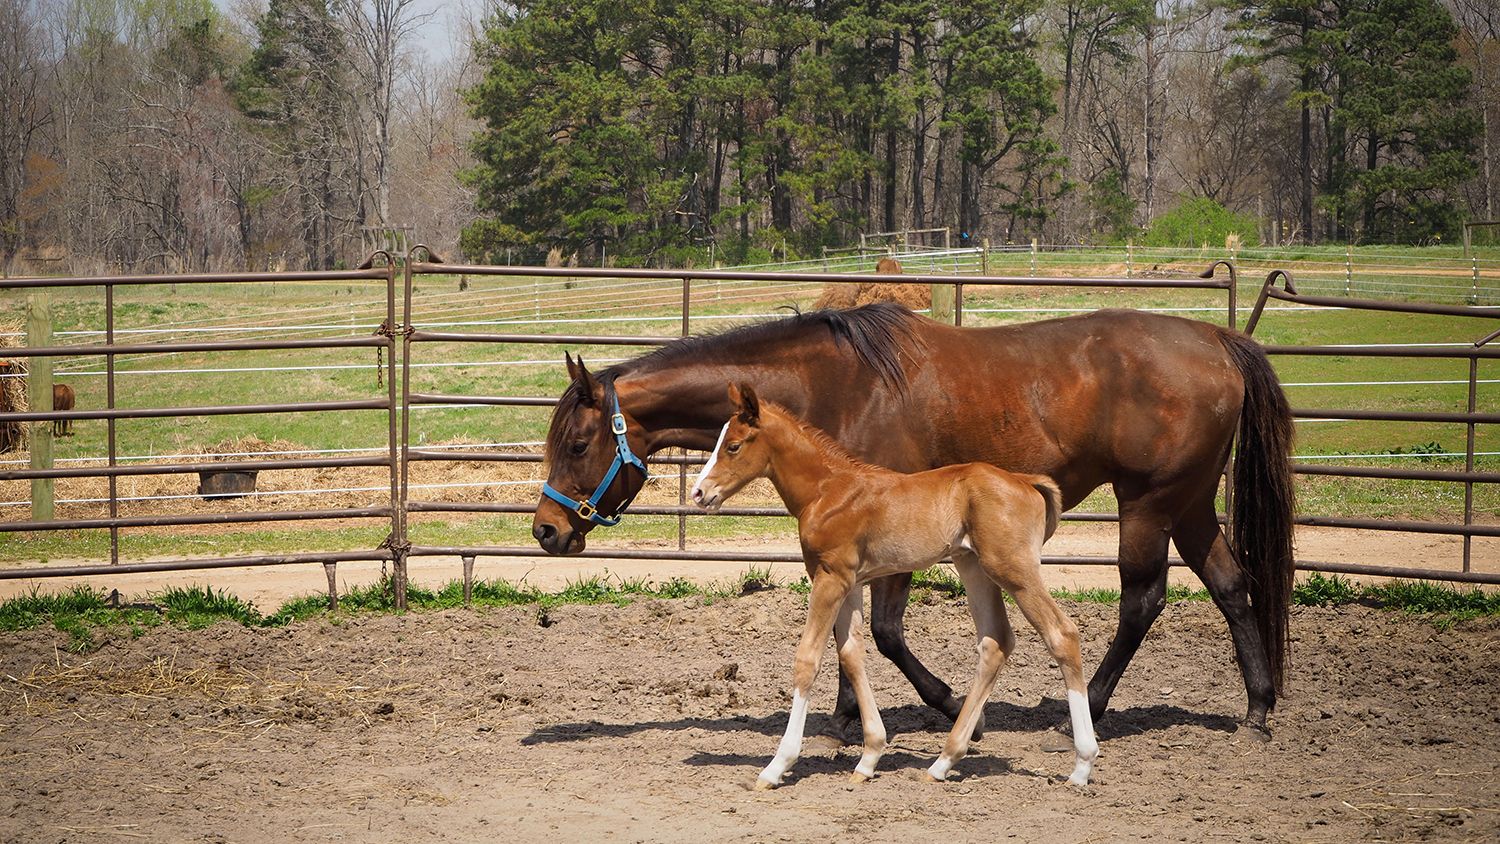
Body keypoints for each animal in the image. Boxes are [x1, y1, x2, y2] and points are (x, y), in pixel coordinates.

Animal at [534, 303, 1294, 740]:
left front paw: (948, 706)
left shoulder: (891, 525)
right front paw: (848, 715)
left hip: (1148, 503)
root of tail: (1219, 340)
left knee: (1142, 598)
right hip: (1190, 503)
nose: (545, 530)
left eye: (577, 443)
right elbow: (857, 632)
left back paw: (1090, 708)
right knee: (1231, 586)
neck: (833, 384)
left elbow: (885, 630)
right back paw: (1257, 709)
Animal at [691, 383, 1099, 788]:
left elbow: (808, 659)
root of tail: (1025, 480)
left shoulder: (829, 577)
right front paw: (869, 756)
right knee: (995, 642)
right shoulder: (850, 581)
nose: (698, 493)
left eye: (733, 446)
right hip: (973, 566)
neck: (827, 491)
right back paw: (943, 762)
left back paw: (1082, 764)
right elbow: (851, 653)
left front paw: (777, 765)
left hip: (1013, 568)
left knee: (1061, 634)